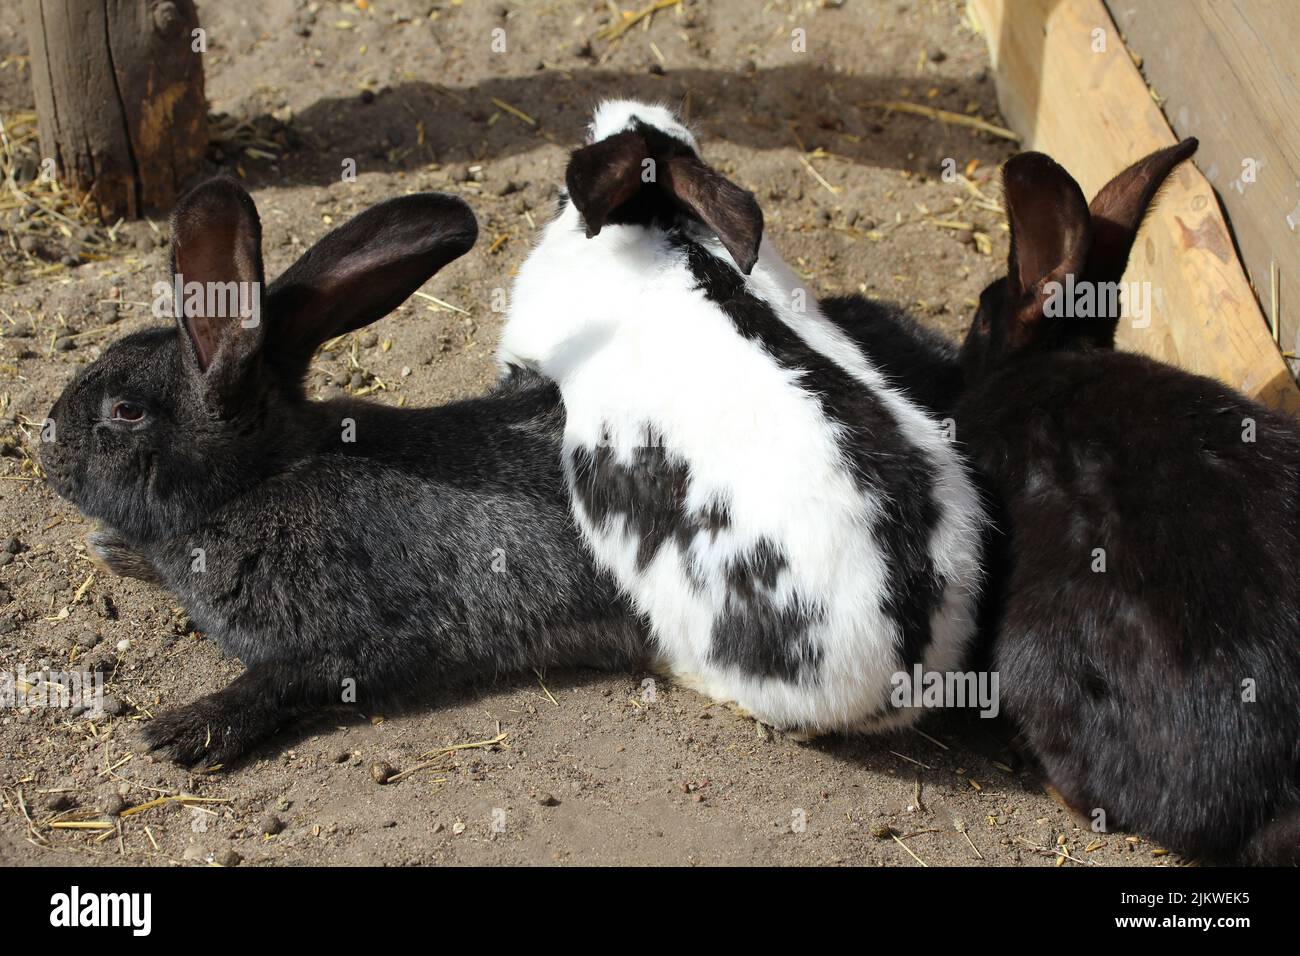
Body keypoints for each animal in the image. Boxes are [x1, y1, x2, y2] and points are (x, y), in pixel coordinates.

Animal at [40, 176, 648, 766]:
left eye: (126, 411)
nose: (46, 449)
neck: (264, 478)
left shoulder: (374, 639)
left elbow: (283, 681)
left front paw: (181, 732)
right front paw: (114, 548)